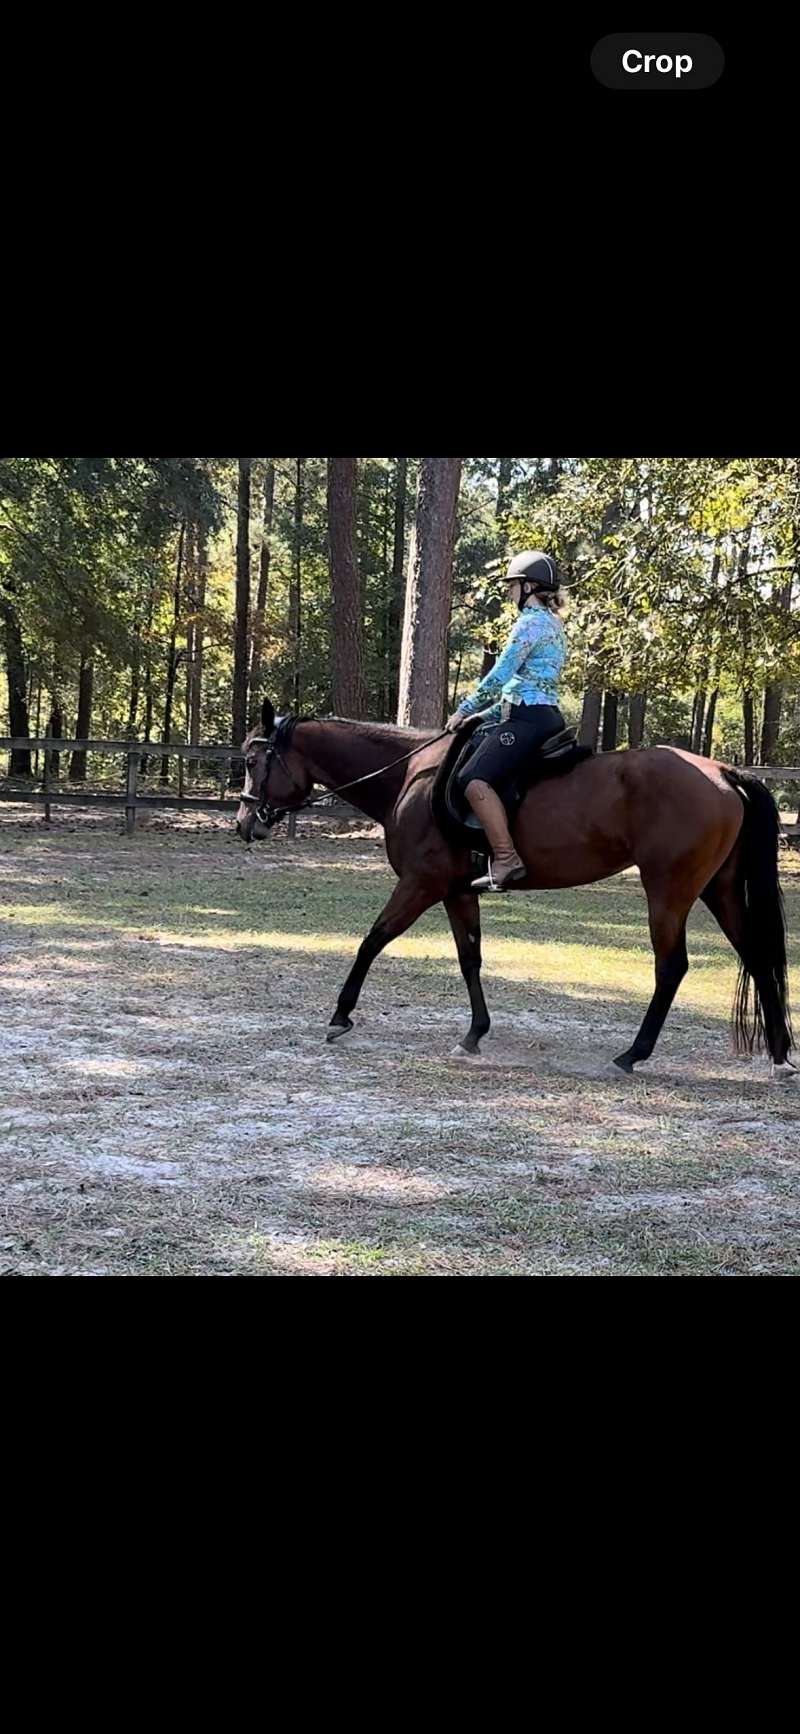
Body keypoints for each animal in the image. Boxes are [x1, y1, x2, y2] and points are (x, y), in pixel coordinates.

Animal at [236, 698, 796, 1080]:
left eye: (252, 762)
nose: (246, 824)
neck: (411, 776)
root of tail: (721, 772)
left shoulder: (421, 883)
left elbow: (372, 941)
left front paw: (340, 1016)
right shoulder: (458, 891)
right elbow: (470, 958)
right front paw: (473, 1035)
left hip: (668, 891)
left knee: (672, 966)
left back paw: (631, 1055)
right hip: (719, 889)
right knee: (756, 955)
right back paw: (780, 1056)